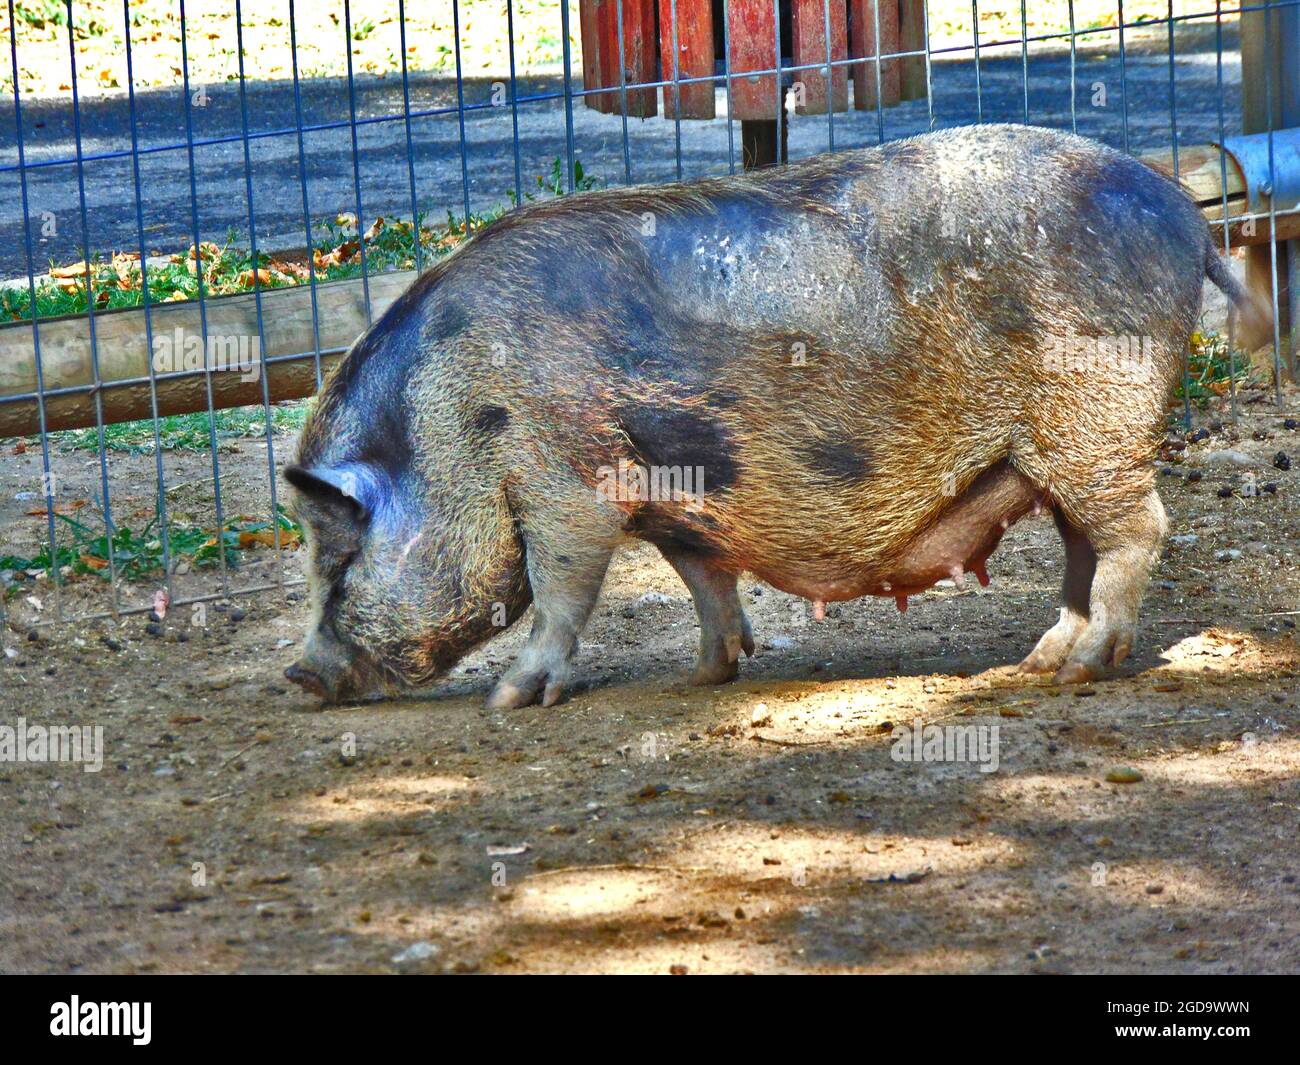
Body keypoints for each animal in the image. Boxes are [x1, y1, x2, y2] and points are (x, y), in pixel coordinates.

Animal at [284, 123, 1261, 707]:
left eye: (340, 564)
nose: (297, 672)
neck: (455, 415)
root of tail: (1186, 215)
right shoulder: (675, 502)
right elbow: (703, 583)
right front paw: (700, 676)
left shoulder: (568, 481)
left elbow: (562, 589)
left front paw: (510, 699)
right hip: (1050, 454)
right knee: (1081, 548)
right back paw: (1038, 661)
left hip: (1099, 426)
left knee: (1138, 529)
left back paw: (1088, 664)